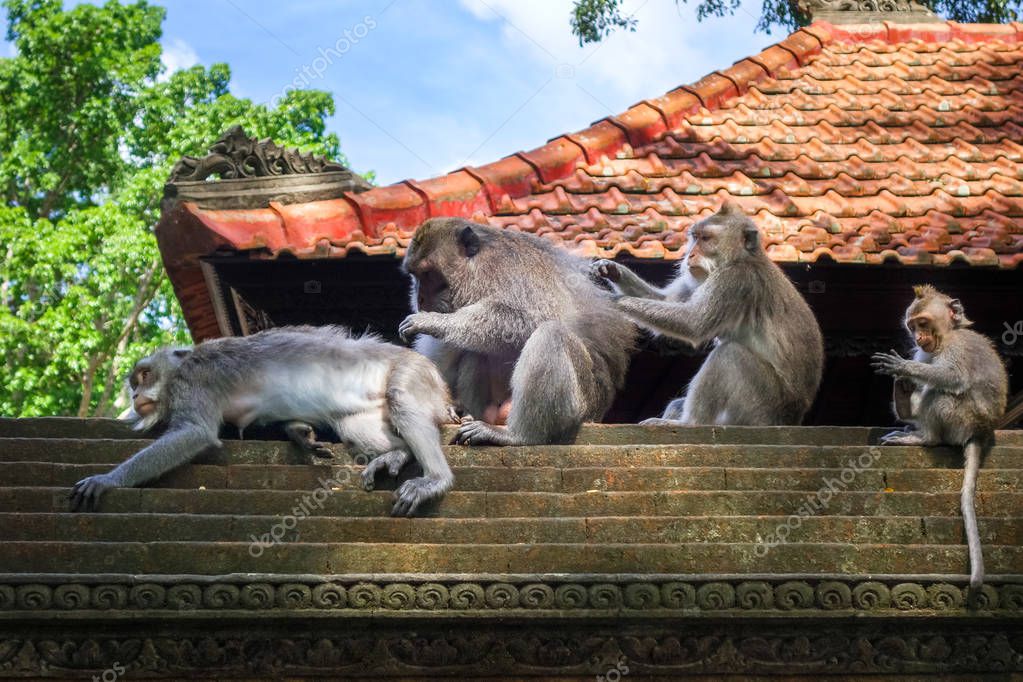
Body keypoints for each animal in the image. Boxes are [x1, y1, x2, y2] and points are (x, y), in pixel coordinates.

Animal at [69, 326, 456, 517]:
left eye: (145, 375)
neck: (179, 369)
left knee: (402, 397)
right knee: (353, 425)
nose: (135, 396)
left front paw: (108, 479)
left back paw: (436, 478)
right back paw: (399, 453)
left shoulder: (193, 383)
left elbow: (195, 433)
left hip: (414, 371)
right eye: (134, 383)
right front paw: (298, 433)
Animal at [398, 217, 636, 446]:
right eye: (415, 275)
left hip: (585, 404)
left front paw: (433, 321)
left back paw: (520, 435)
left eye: (429, 274)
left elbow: (531, 319)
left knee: (550, 334)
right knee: (474, 352)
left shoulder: (510, 273)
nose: (420, 298)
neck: (479, 268)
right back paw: (469, 414)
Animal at [591, 201, 824, 426]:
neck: (739, 258)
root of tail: (793, 419)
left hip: (762, 409)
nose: (690, 255)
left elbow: (692, 323)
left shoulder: (734, 280)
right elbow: (668, 301)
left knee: (729, 354)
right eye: (695, 237)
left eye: (706, 238)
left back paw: (689, 422)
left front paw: (614, 301)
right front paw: (612, 270)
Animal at [872, 285, 1008, 589]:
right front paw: (900, 382)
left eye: (923, 323)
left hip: (963, 419)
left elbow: (952, 376)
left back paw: (926, 438)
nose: (918, 338)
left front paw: (904, 368)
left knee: (940, 392)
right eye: (912, 327)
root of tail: (981, 432)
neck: (947, 335)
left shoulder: (958, 347)